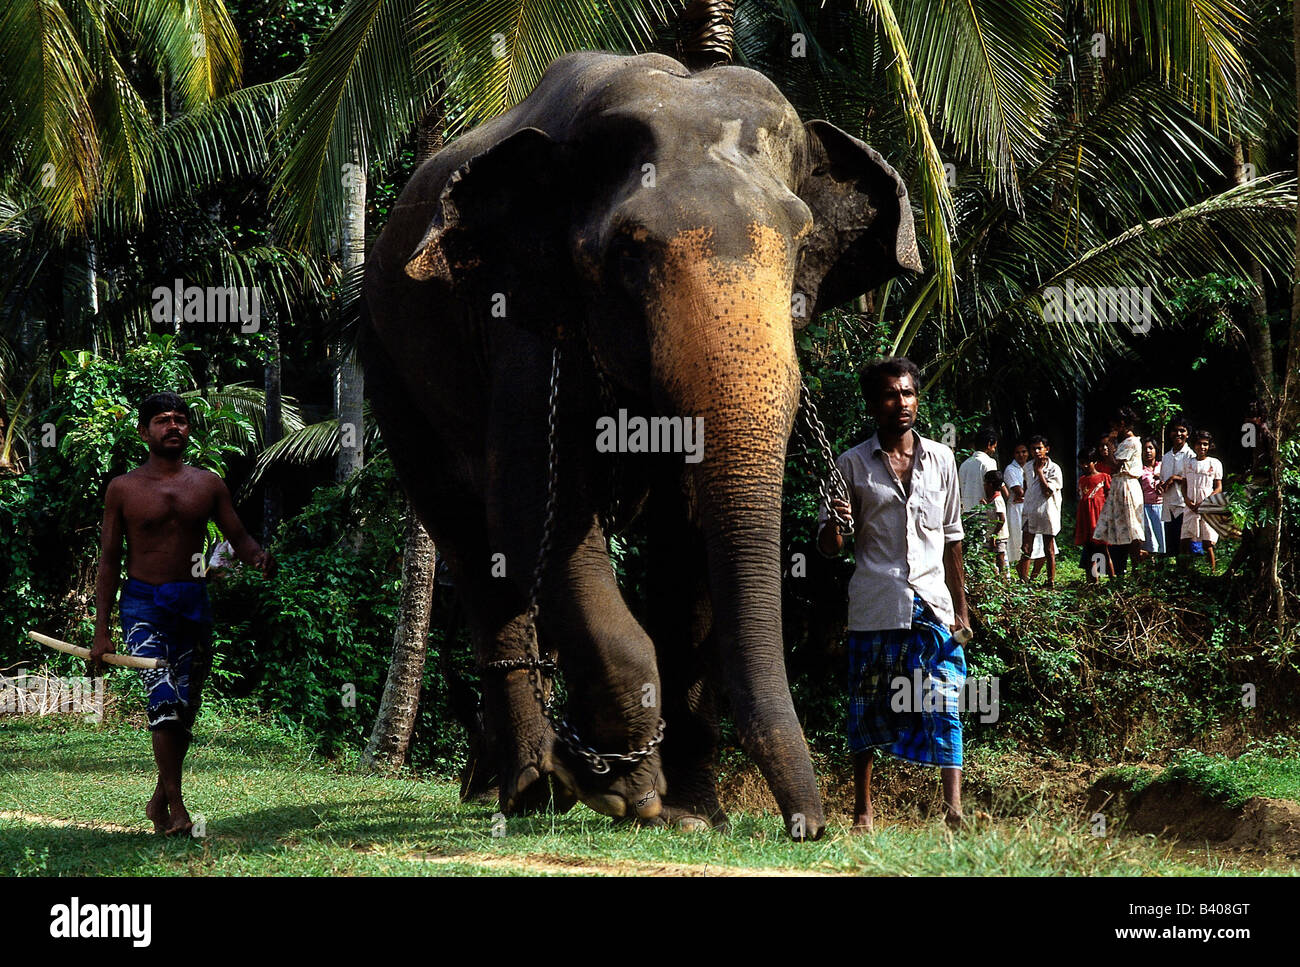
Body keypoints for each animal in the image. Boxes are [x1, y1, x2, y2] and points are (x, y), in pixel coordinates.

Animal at [360, 50, 921, 839]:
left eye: (801, 237)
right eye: (628, 250)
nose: (810, 826)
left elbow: (688, 538)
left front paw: (690, 815)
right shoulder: (523, 324)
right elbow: (534, 510)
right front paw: (629, 793)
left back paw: (538, 778)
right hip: (388, 369)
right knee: (470, 540)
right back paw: (529, 786)